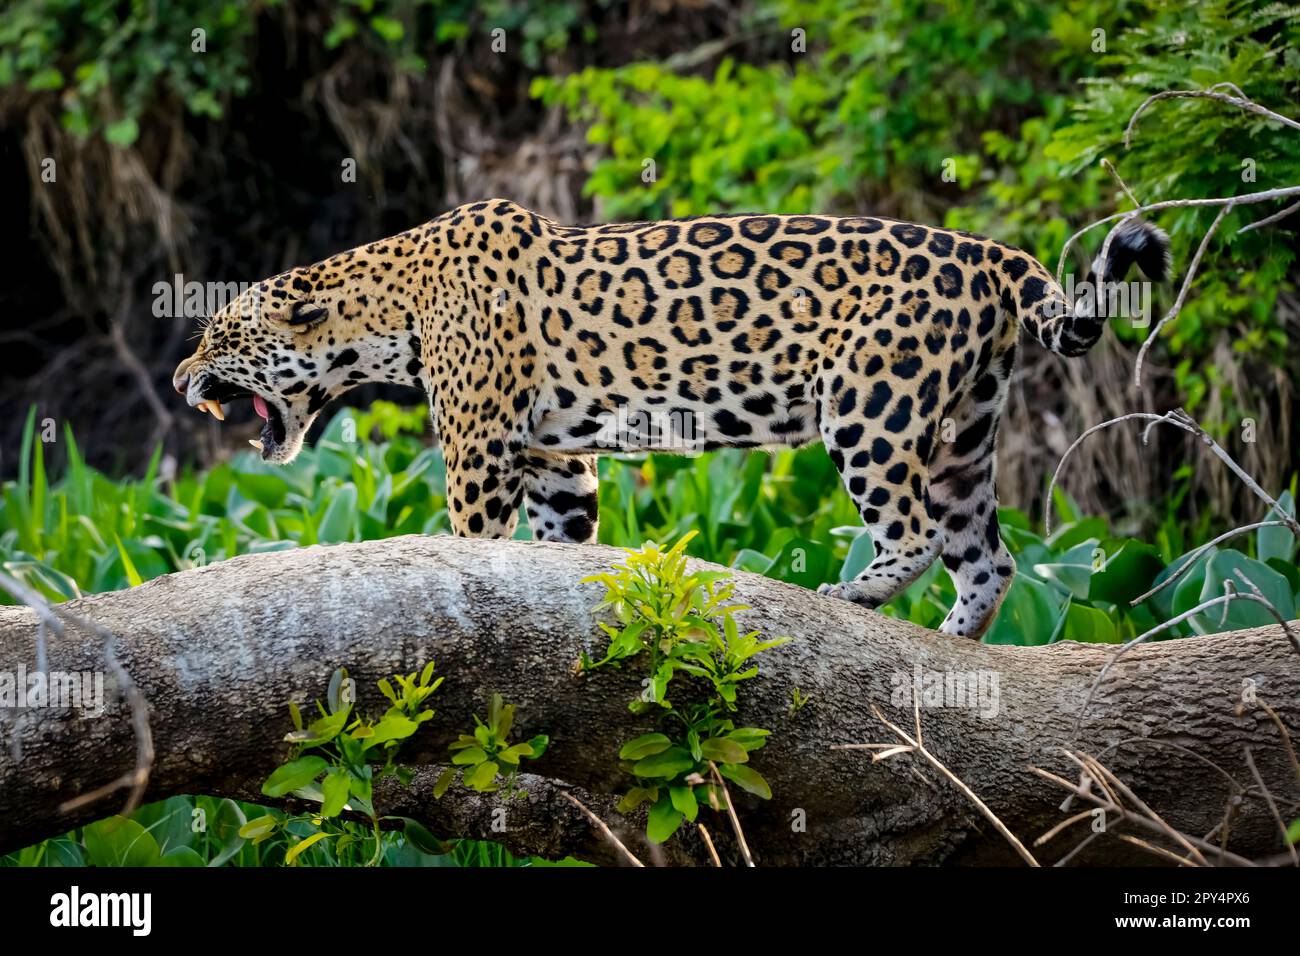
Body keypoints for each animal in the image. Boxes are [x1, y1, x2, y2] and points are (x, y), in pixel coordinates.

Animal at [173, 199, 1169, 638]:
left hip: (869, 407)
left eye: (220, 332)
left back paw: (849, 596)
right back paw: (951, 646)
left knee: (914, 528)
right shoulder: (553, 461)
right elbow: (559, 544)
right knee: (989, 556)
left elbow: (471, 541)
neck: (387, 313)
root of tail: (994, 254)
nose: (182, 378)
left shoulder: (480, 451)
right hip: (963, 431)